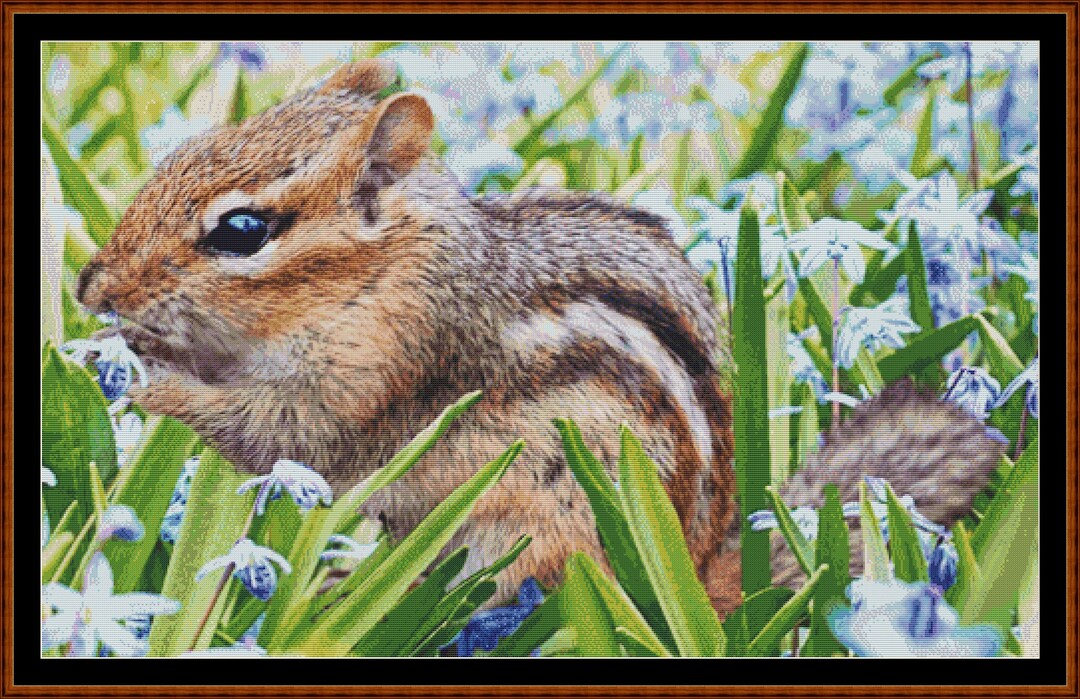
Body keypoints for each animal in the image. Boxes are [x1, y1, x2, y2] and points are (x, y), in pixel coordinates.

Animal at [73, 59, 1005, 615]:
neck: (380, 277)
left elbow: (271, 431)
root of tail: (699, 571)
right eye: (182, 151)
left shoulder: (373, 379)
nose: (91, 286)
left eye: (241, 230)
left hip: (536, 535)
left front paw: (134, 370)